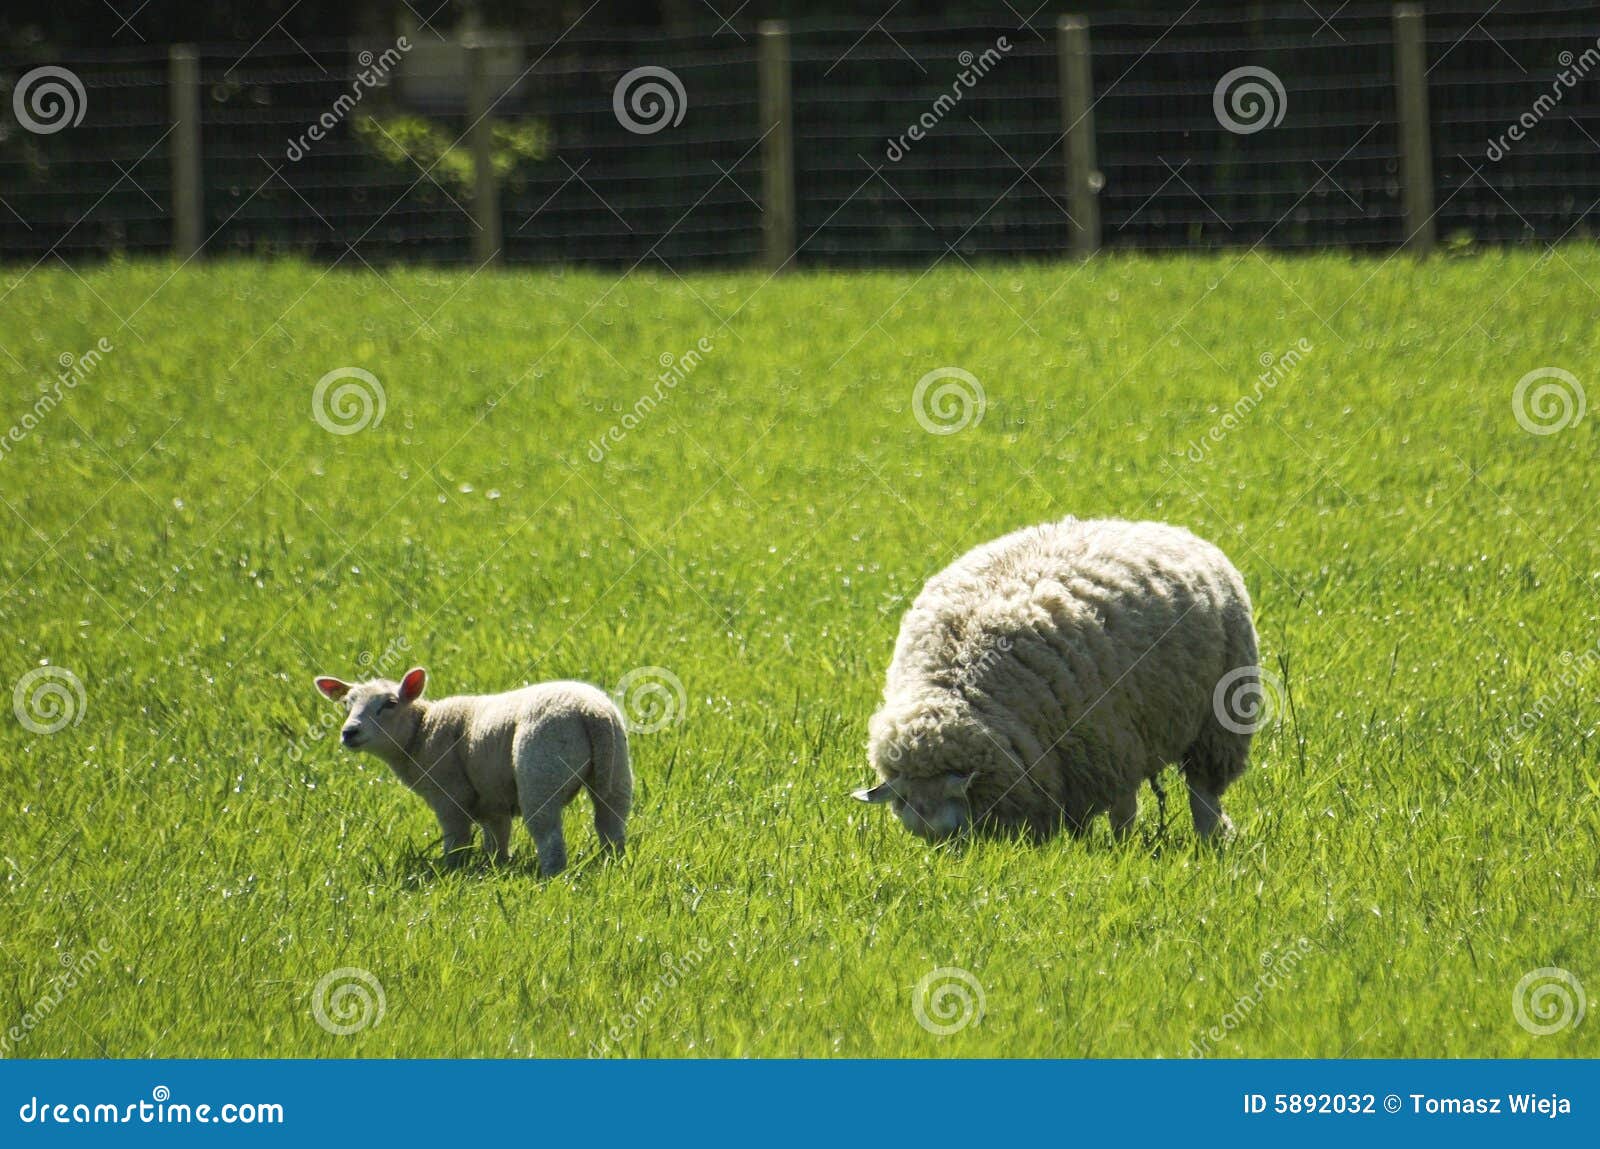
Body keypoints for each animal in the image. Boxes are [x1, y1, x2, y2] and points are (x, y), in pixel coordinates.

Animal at [312, 667, 631, 877]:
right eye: (347, 704)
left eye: (390, 703)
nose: (349, 732)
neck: (421, 732)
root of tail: (592, 712)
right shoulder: (493, 799)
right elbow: (497, 838)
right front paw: (497, 868)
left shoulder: (450, 796)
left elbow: (457, 842)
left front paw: (452, 873)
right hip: (617, 770)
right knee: (610, 824)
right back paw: (612, 865)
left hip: (542, 772)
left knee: (549, 836)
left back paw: (551, 878)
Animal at [853, 518, 1259, 844]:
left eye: (957, 832)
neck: (952, 682)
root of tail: (1166, 527)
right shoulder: (1073, 759)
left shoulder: (1107, 744)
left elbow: (1121, 810)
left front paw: (1120, 852)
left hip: (1216, 722)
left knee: (1202, 792)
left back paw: (1208, 839)